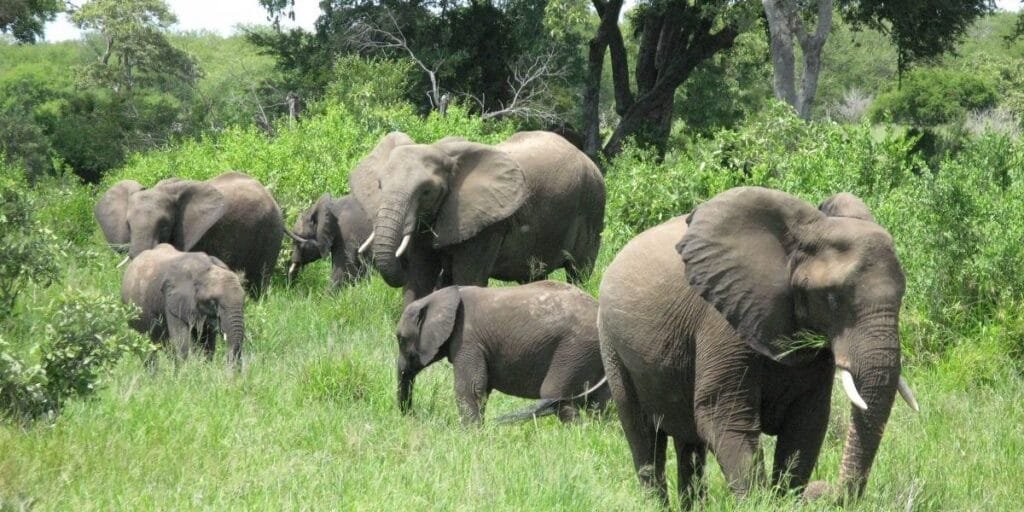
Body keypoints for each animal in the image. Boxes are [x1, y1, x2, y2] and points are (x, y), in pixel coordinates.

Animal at [350, 131, 605, 305]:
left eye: (426, 191)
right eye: (380, 186)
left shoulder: (486, 225)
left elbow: (467, 279)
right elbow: (419, 277)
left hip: (593, 208)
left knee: (578, 272)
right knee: (534, 276)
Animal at [396, 281, 609, 425]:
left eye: (400, 339)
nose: (412, 417)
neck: (441, 296)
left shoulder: (467, 339)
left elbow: (470, 388)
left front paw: (470, 436)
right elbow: (481, 389)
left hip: (575, 348)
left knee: (555, 394)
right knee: (599, 400)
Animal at [597, 187, 919, 506]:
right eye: (832, 298)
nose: (822, 492)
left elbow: (807, 423)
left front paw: (785, 499)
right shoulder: (723, 320)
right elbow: (725, 417)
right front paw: (759, 502)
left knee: (689, 444)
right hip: (611, 344)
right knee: (643, 435)